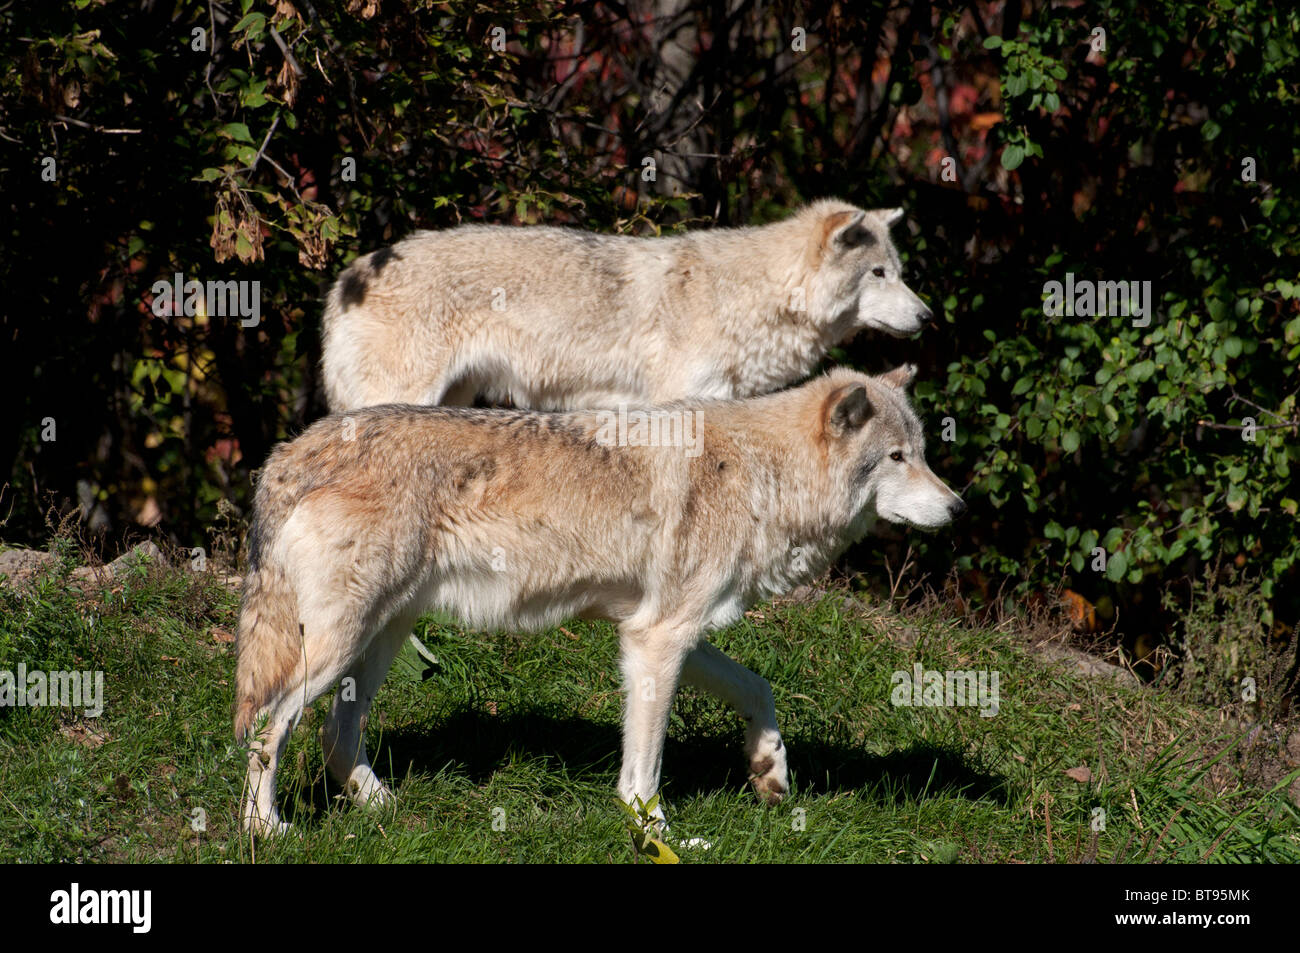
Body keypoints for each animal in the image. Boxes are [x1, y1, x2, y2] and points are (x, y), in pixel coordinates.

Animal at [235, 364, 963, 835]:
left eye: (923, 453)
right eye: (897, 457)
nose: (958, 507)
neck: (764, 475)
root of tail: (289, 453)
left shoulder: (661, 629)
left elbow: (758, 687)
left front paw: (769, 773)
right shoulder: (656, 638)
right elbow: (643, 772)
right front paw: (658, 834)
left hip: (381, 636)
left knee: (335, 732)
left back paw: (385, 808)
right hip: (337, 645)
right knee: (268, 728)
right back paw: (267, 829)